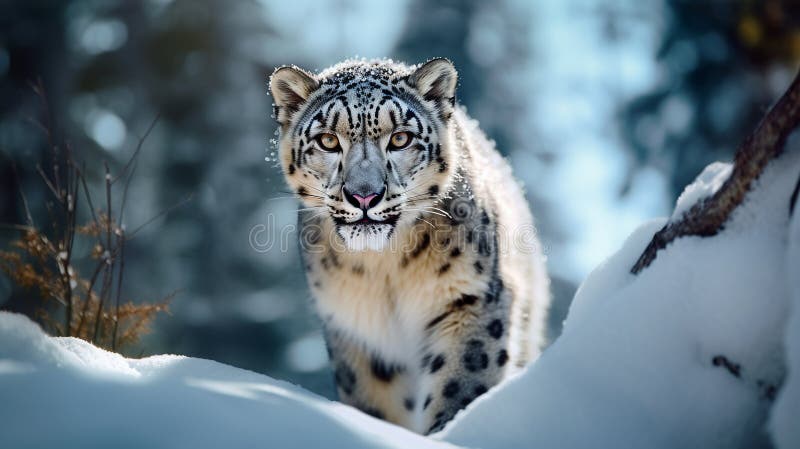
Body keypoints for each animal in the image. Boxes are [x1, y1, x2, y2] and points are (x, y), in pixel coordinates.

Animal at [268, 58, 550, 434]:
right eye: (328, 140)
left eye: (400, 138)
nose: (364, 195)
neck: (385, 268)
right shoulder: (354, 324)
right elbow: (374, 400)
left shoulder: (468, 297)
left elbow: (461, 381)